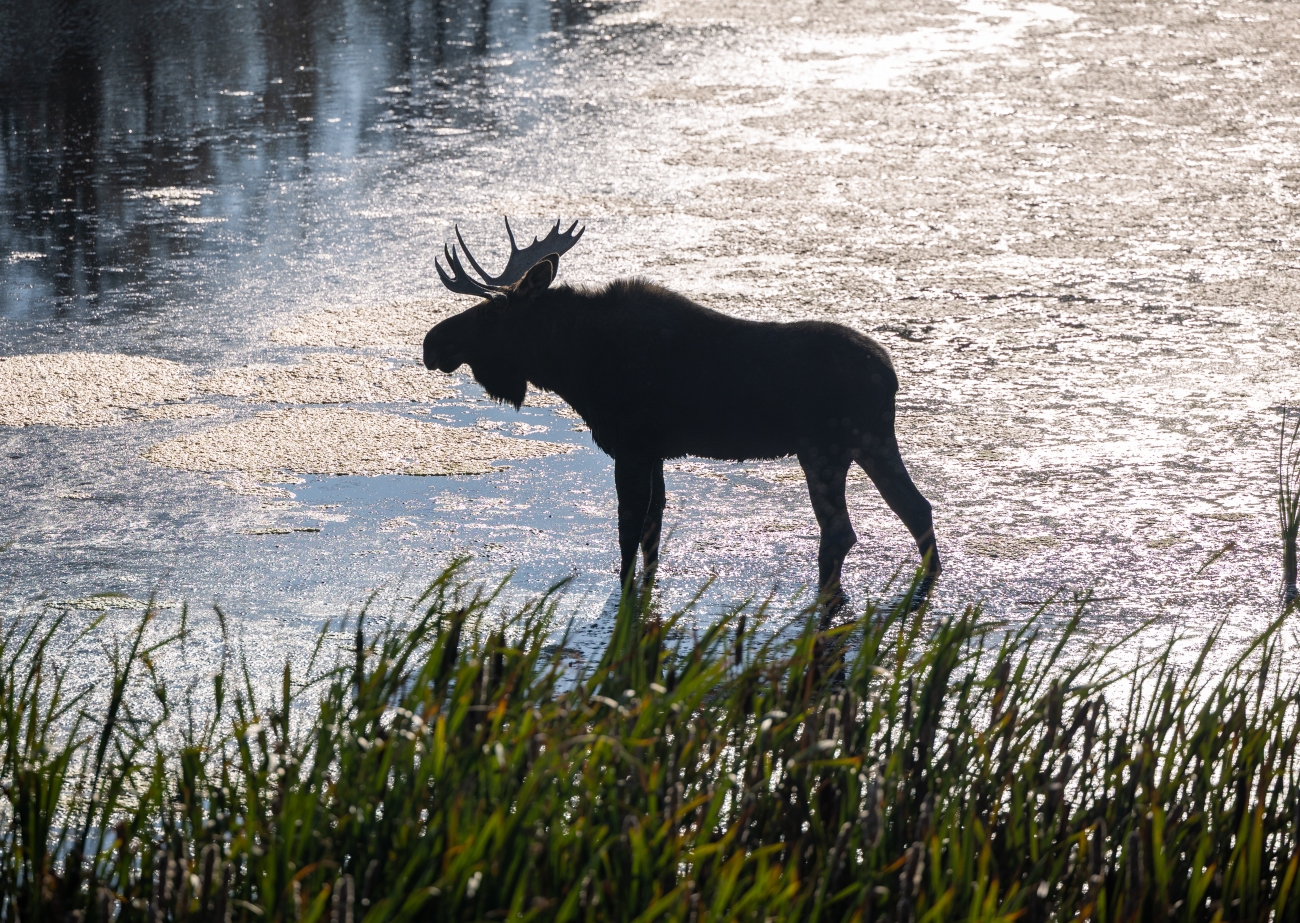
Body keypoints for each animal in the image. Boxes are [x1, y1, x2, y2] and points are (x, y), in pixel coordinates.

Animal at [422, 219, 941, 611]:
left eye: (493, 314)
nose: (432, 343)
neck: (573, 365)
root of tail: (890, 375)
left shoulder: (630, 446)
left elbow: (629, 531)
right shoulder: (654, 452)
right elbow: (653, 530)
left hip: (824, 448)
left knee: (839, 532)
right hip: (870, 442)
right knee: (916, 509)